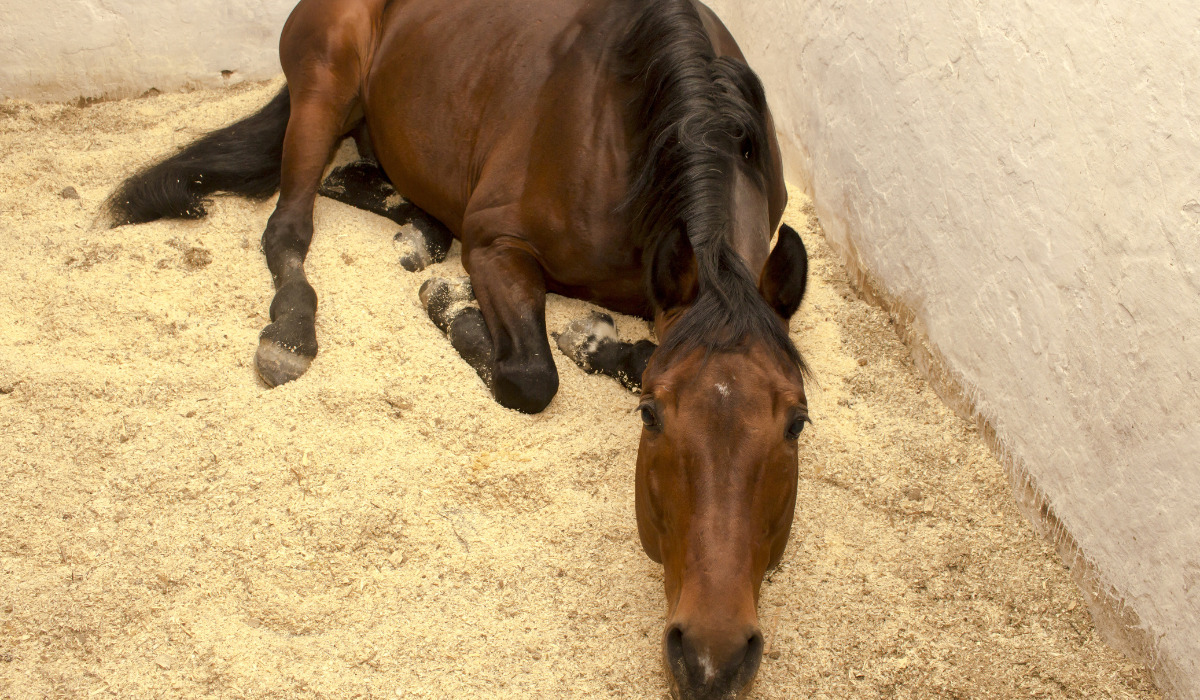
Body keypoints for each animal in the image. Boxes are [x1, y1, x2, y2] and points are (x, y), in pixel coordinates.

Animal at [109, 0, 811, 696]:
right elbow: (528, 376)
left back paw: (418, 231)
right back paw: (292, 331)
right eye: (651, 417)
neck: (633, 135)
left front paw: (593, 337)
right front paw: (457, 304)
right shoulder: (496, 243)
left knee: (361, 182)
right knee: (290, 224)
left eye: (797, 424)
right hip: (323, 90)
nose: (713, 656)